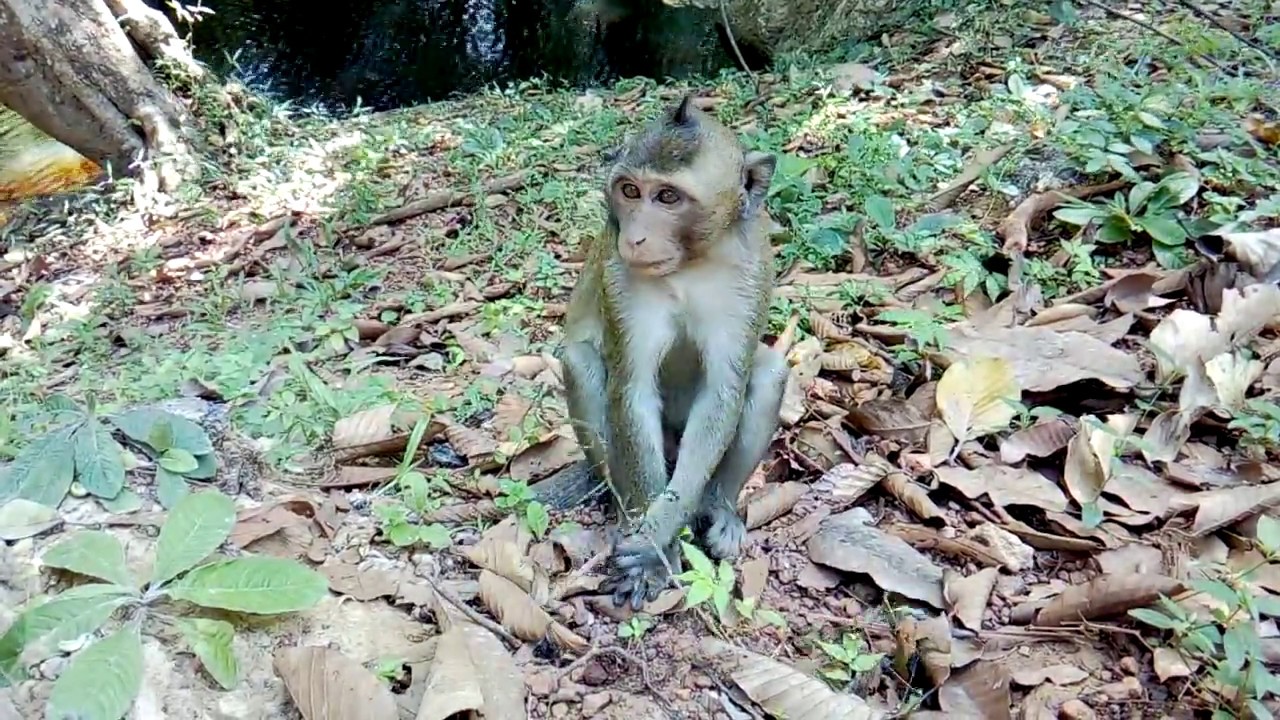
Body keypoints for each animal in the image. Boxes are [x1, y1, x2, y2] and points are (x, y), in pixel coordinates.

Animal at [531, 94, 788, 610]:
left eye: (668, 197)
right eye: (630, 190)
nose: (635, 238)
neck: (691, 262)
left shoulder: (752, 270)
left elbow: (723, 391)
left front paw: (660, 531)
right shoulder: (619, 274)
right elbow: (631, 389)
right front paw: (652, 546)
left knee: (769, 370)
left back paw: (720, 509)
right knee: (582, 362)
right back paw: (620, 506)